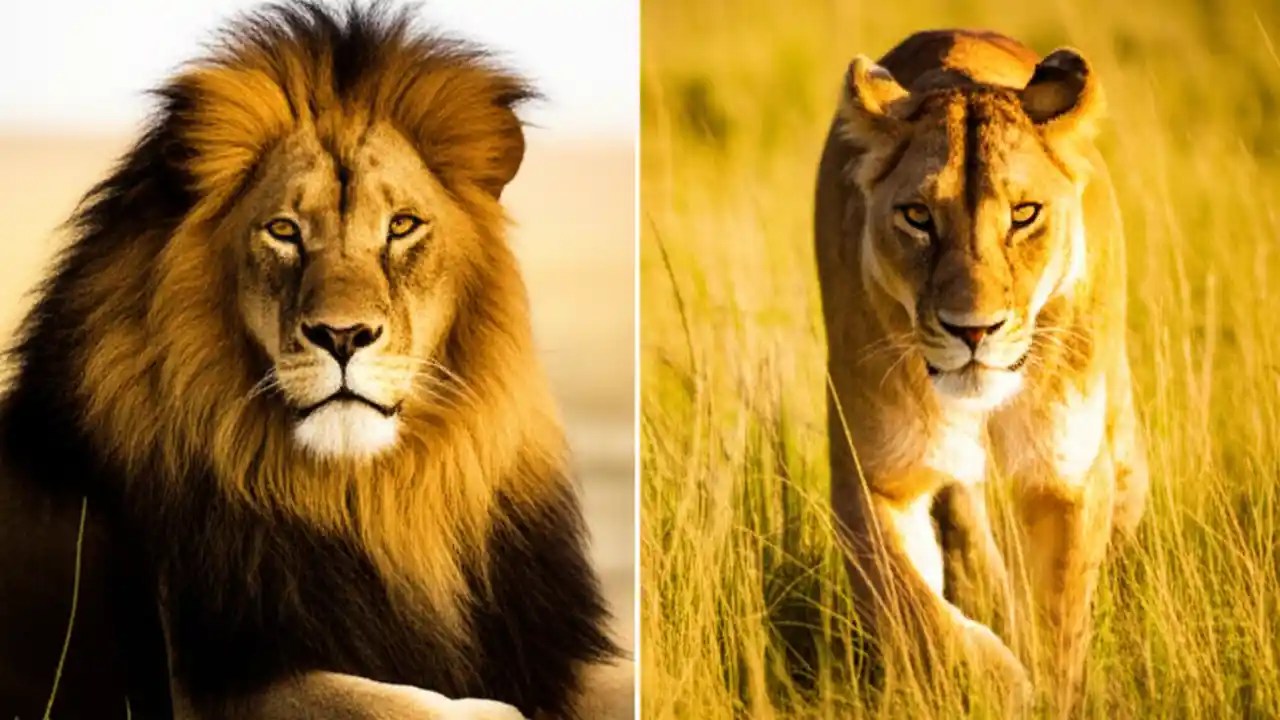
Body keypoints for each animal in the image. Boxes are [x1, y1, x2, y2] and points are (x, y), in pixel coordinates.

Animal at [0, 4, 631, 719]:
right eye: (284, 231)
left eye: (401, 226)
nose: (343, 335)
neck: (368, 499)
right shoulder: (210, 690)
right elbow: (426, 706)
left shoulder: (547, 650)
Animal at [814, 29, 1149, 713]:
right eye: (917, 216)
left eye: (1024, 215)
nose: (973, 330)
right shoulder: (875, 477)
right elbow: (918, 612)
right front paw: (1002, 681)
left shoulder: (1066, 476)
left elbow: (1058, 616)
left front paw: (1048, 689)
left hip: (1123, 452)